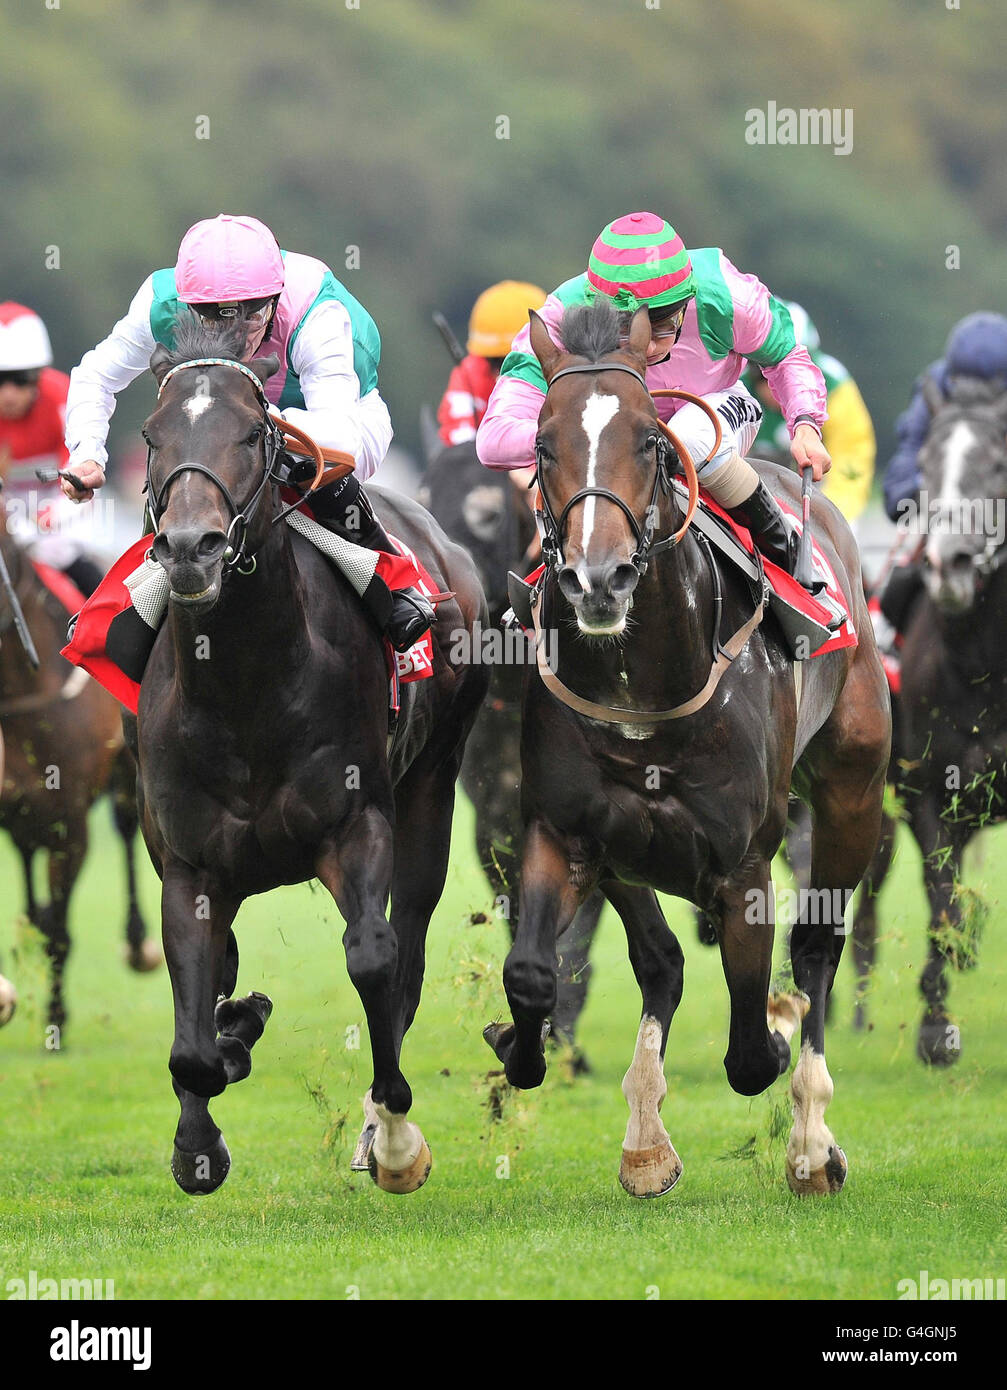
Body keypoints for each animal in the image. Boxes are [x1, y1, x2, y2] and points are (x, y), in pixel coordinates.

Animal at [133, 318, 488, 1196]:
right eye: (153, 435)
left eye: (251, 434)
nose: (190, 547)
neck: (243, 690)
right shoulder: (188, 865)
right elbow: (194, 1026)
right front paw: (199, 1136)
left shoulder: (355, 824)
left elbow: (373, 958)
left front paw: (393, 1137)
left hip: (433, 789)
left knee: (408, 946)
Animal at [484, 300, 890, 1197]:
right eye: (542, 445)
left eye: (650, 441)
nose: (596, 579)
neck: (642, 692)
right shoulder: (567, 833)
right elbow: (533, 971)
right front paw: (520, 1051)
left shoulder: (742, 867)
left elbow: (749, 1052)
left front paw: (775, 1042)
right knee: (661, 959)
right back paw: (645, 1141)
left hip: (852, 789)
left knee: (816, 949)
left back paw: (812, 1144)